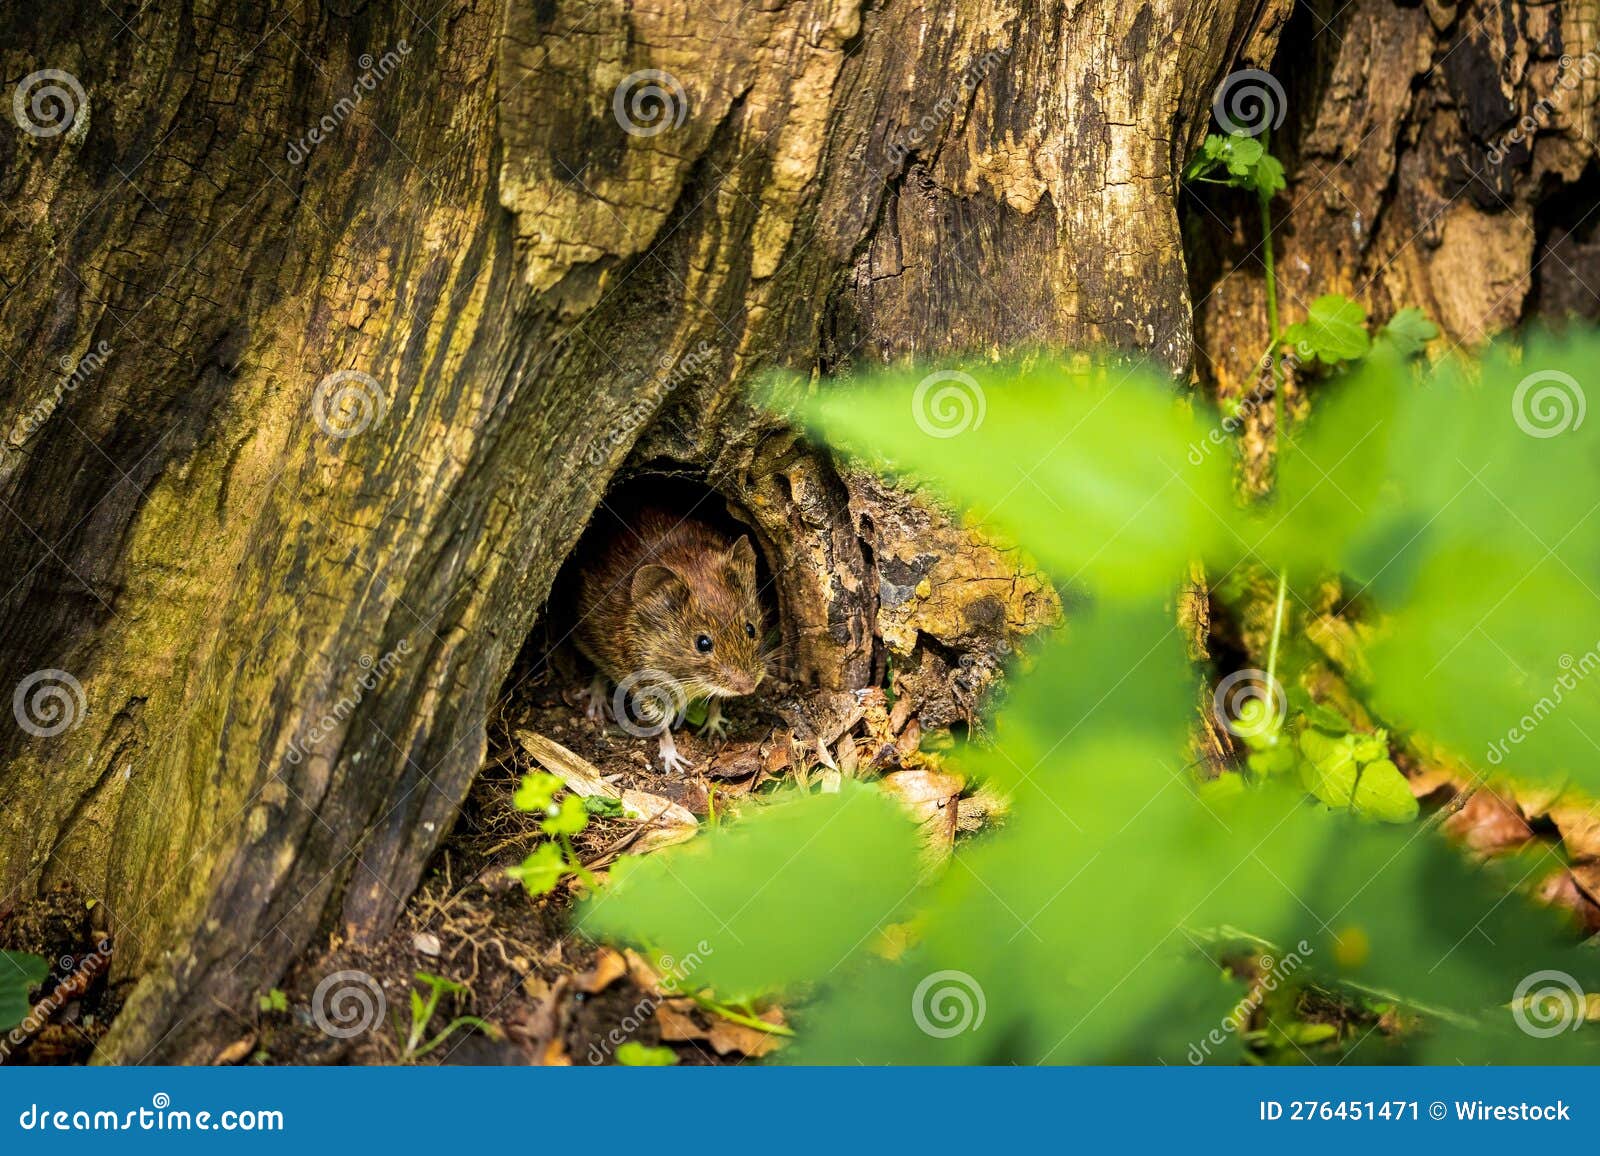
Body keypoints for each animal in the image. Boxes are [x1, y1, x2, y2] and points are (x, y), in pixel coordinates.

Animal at [574, 509, 768, 773]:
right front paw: (672, 758)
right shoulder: (647, 683)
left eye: (750, 629)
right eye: (703, 643)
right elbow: (661, 724)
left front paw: (714, 726)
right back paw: (597, 703)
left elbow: (716, 698)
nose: (748, 688)